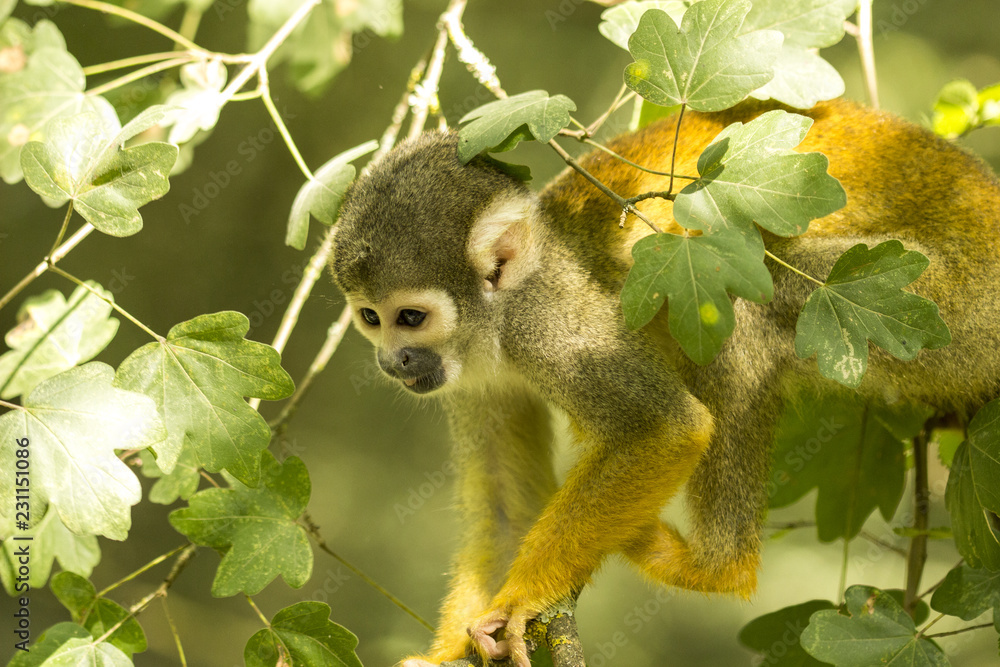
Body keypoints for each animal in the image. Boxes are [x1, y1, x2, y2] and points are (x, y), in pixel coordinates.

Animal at [328, 98, 1000, 667]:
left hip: (940, 308)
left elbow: (665, 427)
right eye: (370, 319)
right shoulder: (469, 378)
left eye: (410, 318)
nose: (393, 363)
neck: (497, 324)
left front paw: (519, 602)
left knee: (745, 292)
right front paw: (450, 652)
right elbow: (505, 505)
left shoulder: (551, 323)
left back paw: (715, 566)